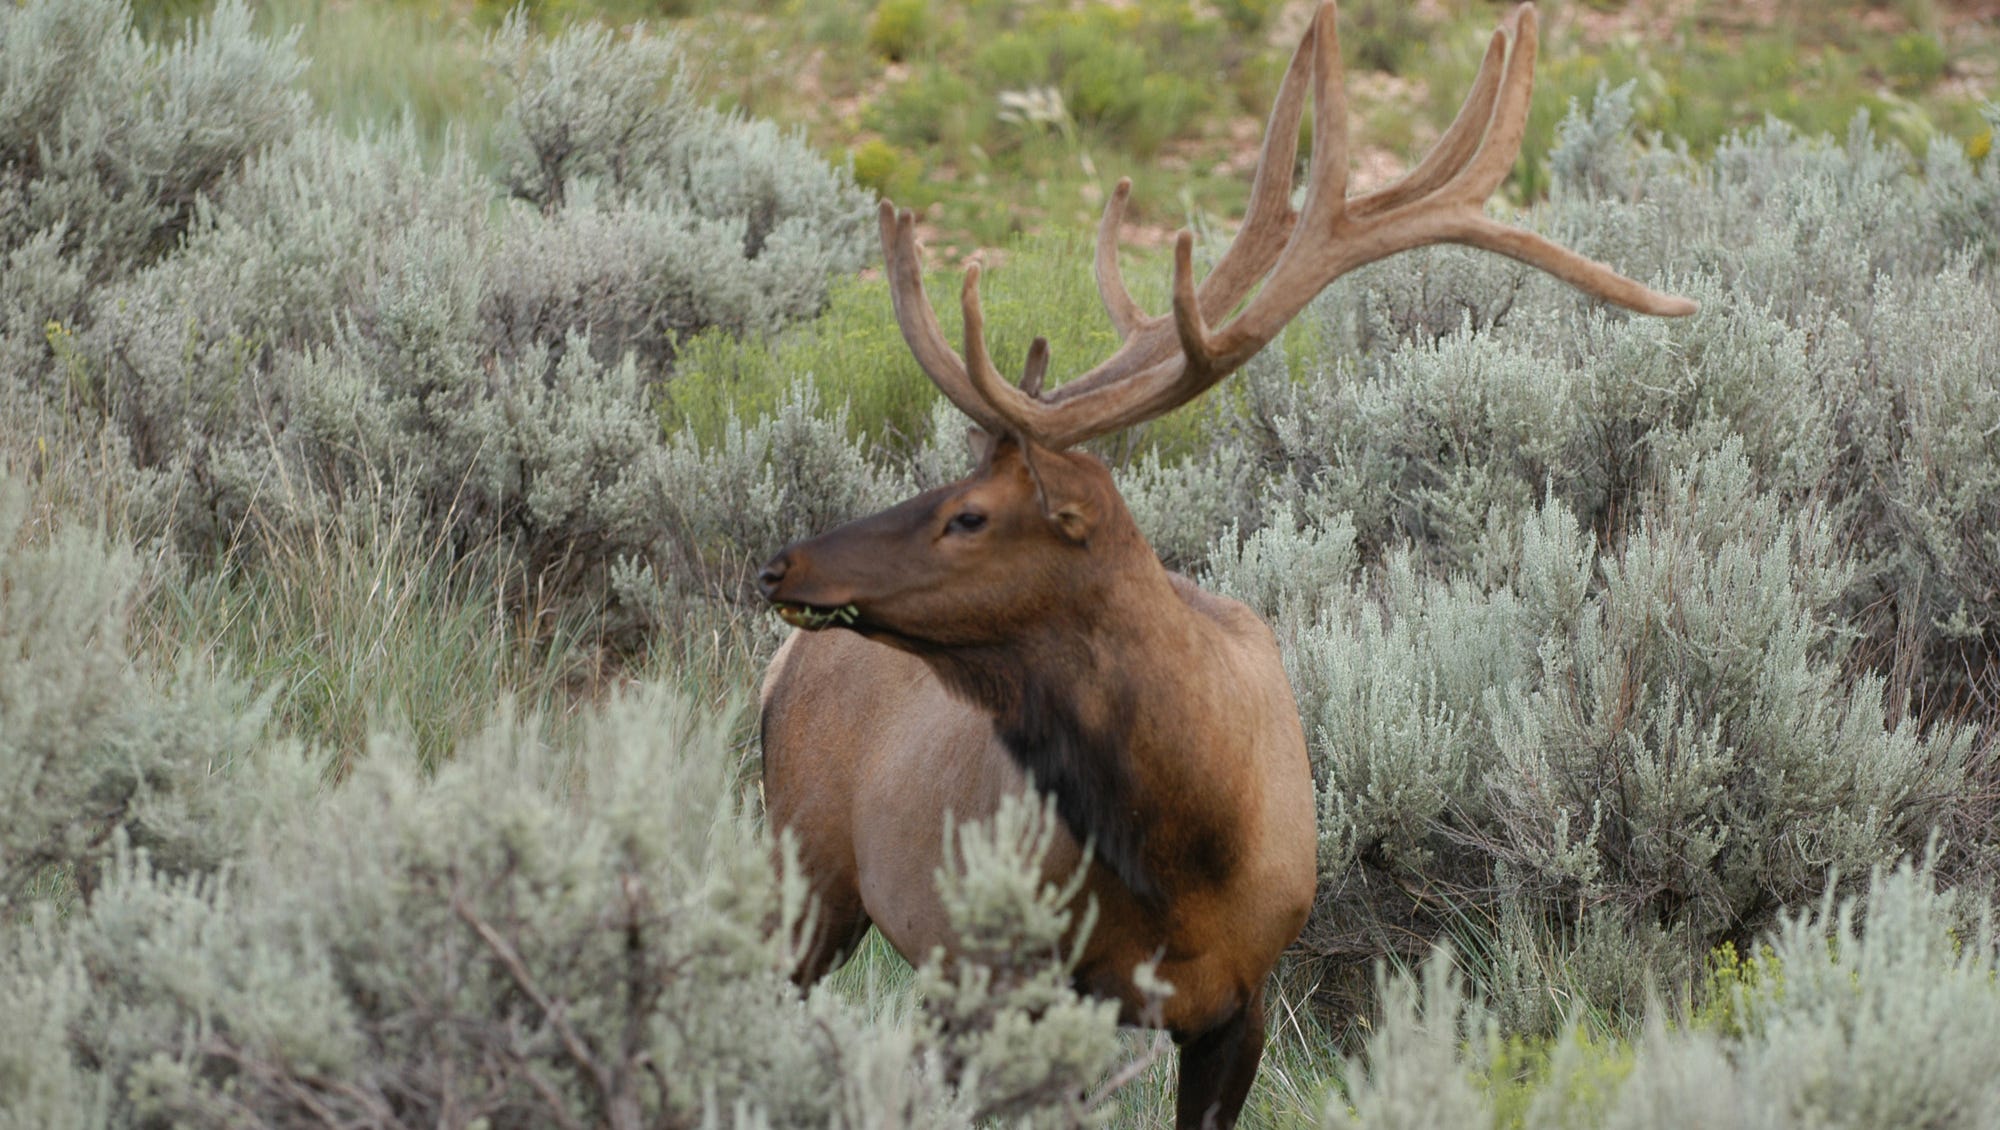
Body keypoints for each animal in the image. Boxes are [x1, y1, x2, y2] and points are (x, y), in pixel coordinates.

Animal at [756, 4, 1695, 1126]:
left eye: (968, 515)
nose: (782, 563)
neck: (1186, 850)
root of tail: (775, 672)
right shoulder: (1021, 980)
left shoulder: (1240, 999)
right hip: (812, 881)